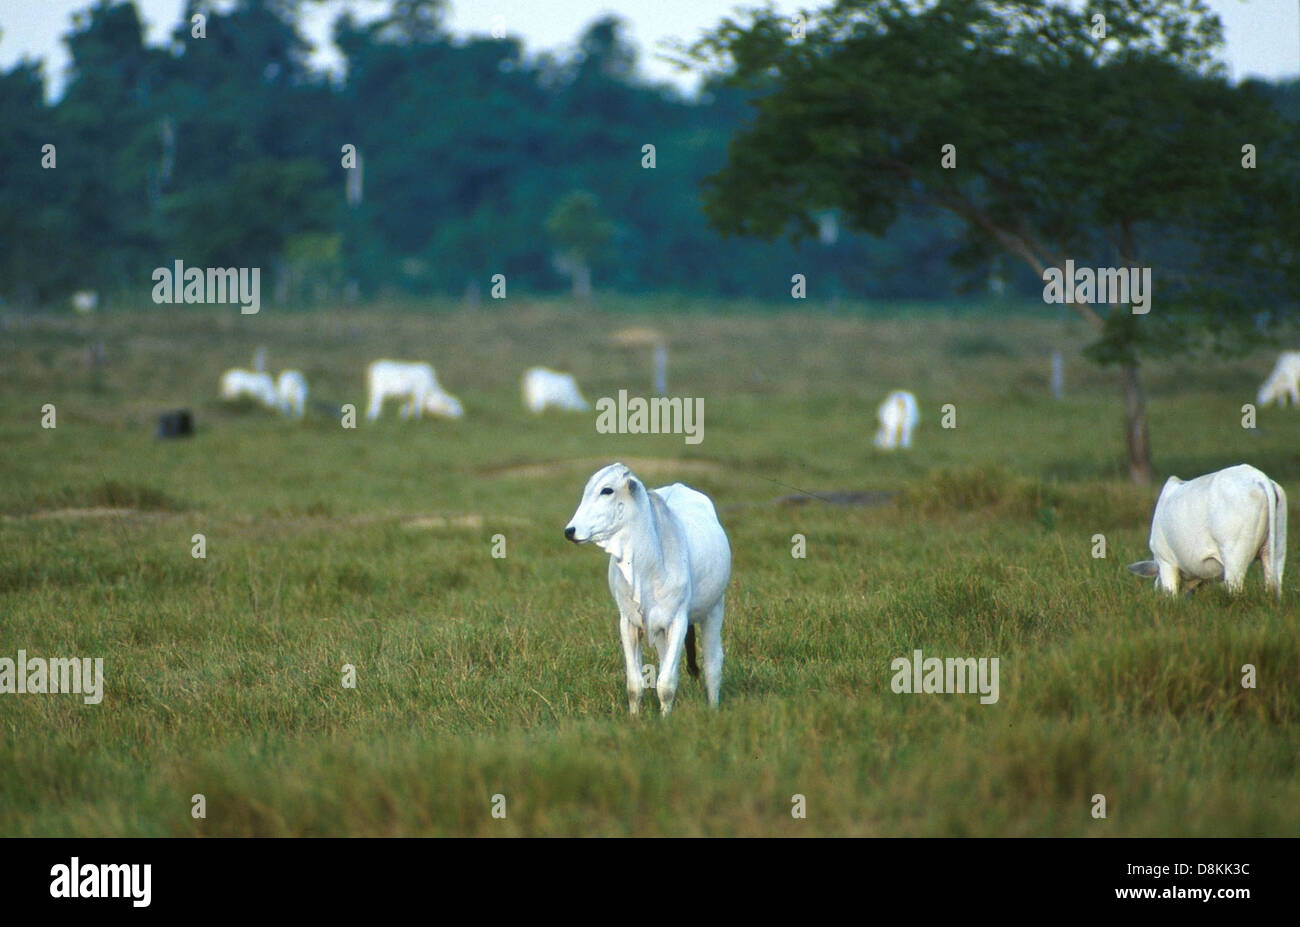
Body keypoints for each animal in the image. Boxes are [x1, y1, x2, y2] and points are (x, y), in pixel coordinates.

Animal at [564, 462, 731, 715]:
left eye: (607, 490)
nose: (570, 530)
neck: (644, 566)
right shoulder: (628, 622)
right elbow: (635, 685)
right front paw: (635, 718)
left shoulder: (678, 620)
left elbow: (666, 685)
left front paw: (665, 719)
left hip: (714, 609)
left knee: (713, 664)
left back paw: (713, 708)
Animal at [1127, 464, 1287, 600]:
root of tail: (1259, 477)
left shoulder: (1166, 561)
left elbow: (1170, 593)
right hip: (1275, 551)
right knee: (1273, 584)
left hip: (1235, 556)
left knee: (1235, 589)